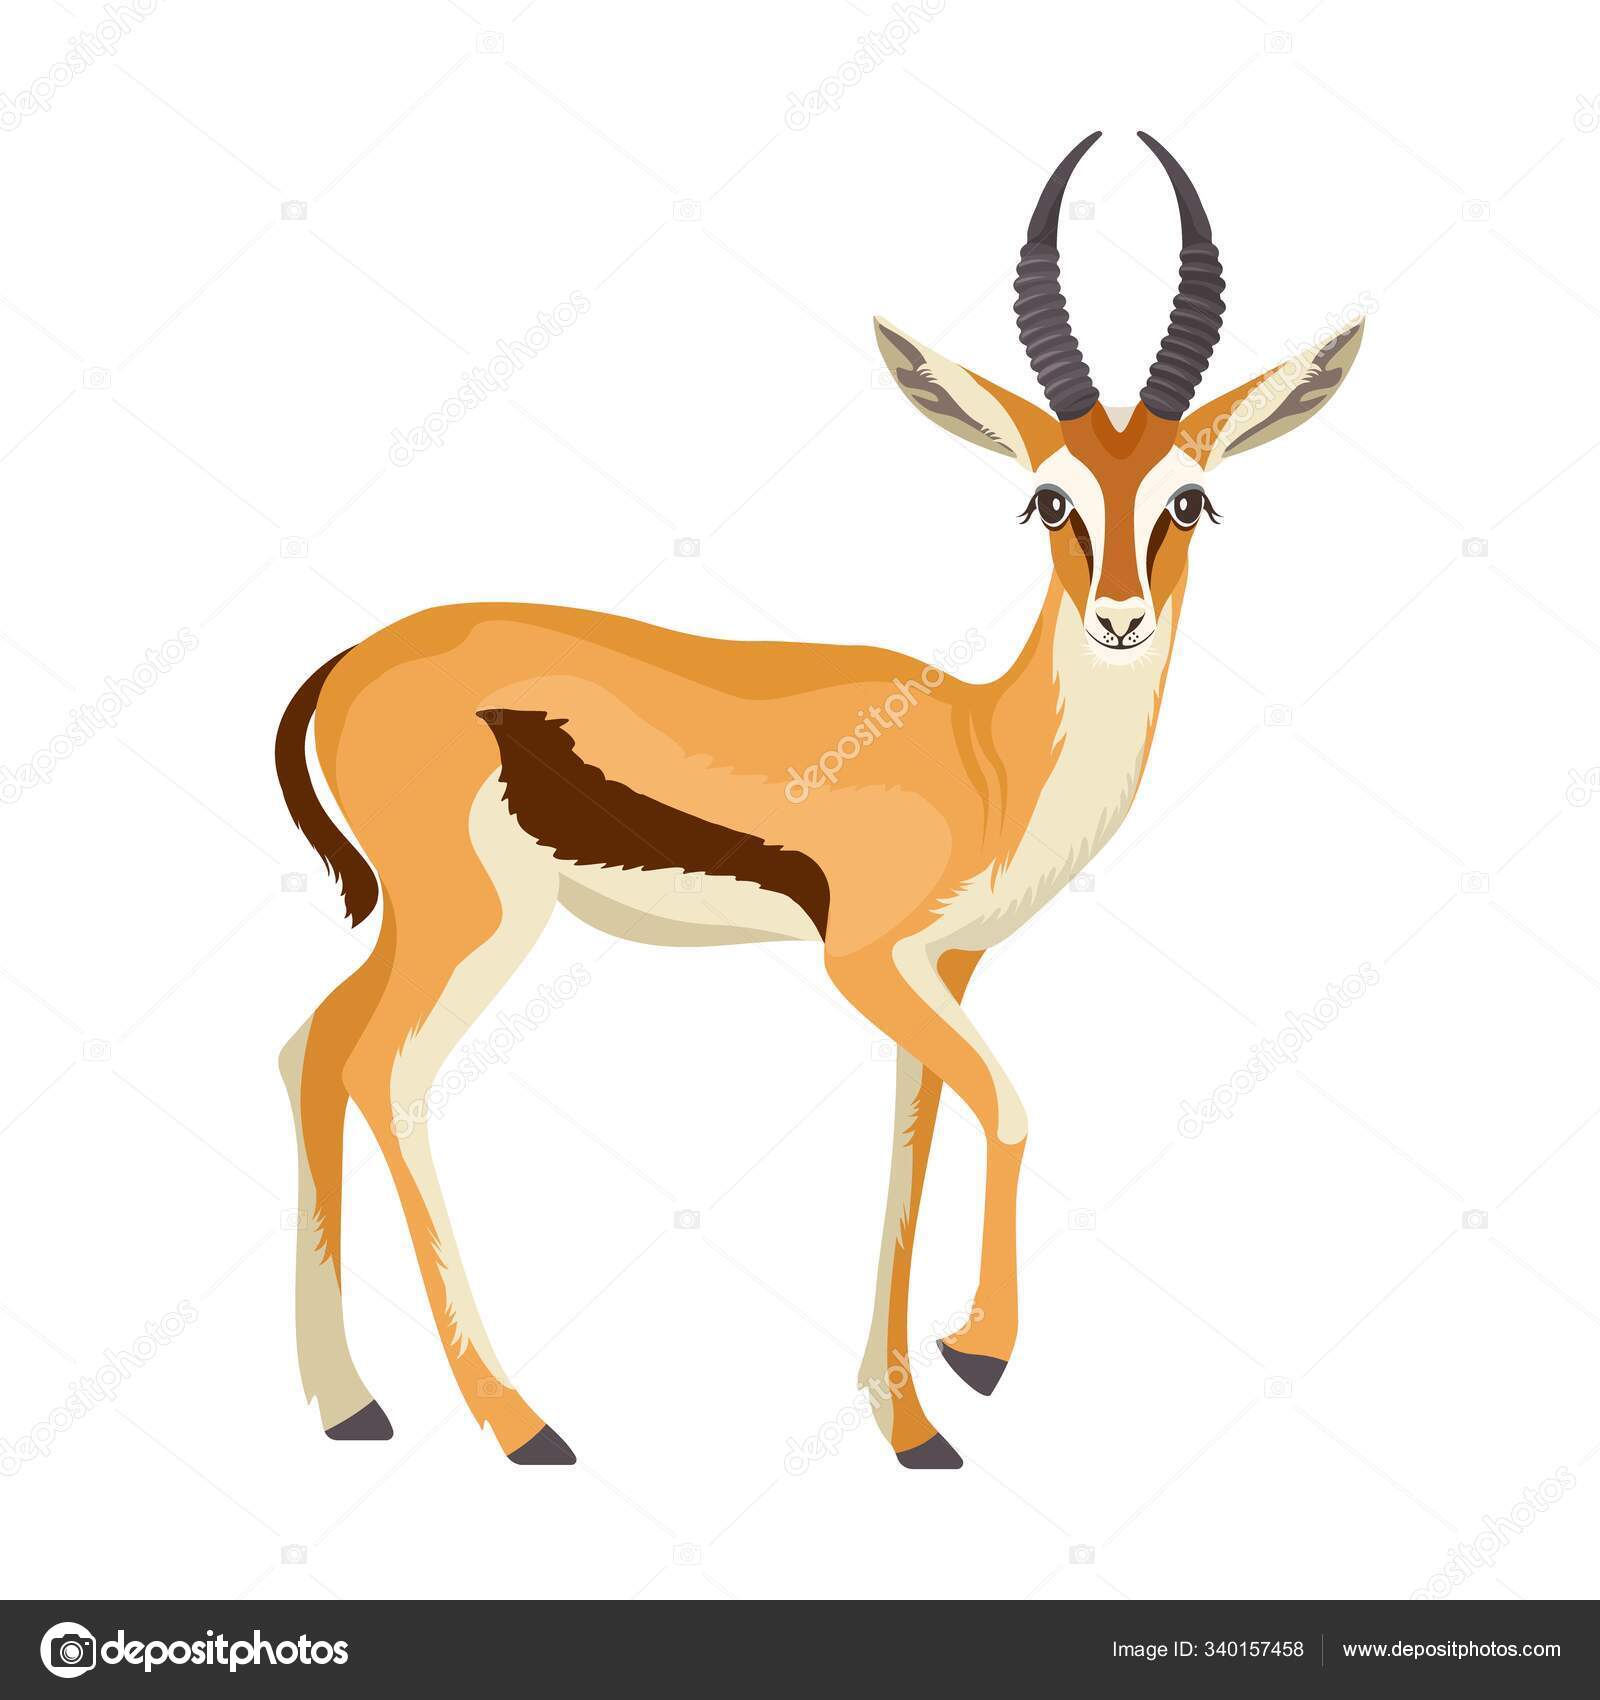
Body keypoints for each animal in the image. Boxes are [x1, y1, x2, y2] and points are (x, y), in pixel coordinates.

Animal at [276, 132, 1363, 1469]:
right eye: (1048, 497)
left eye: (1188, 499)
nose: (1120, 620)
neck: (986, 752)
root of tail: (342, 664)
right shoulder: (866, 959)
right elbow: (1009, 1109)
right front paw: (979, 1357)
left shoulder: (942, 971)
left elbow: (916, 1141)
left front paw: (910, 1420)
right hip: (472, 919)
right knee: (384, 1070)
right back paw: (519, 1421)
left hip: (422, 918)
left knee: (313, 1044)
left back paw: (350, 1404)